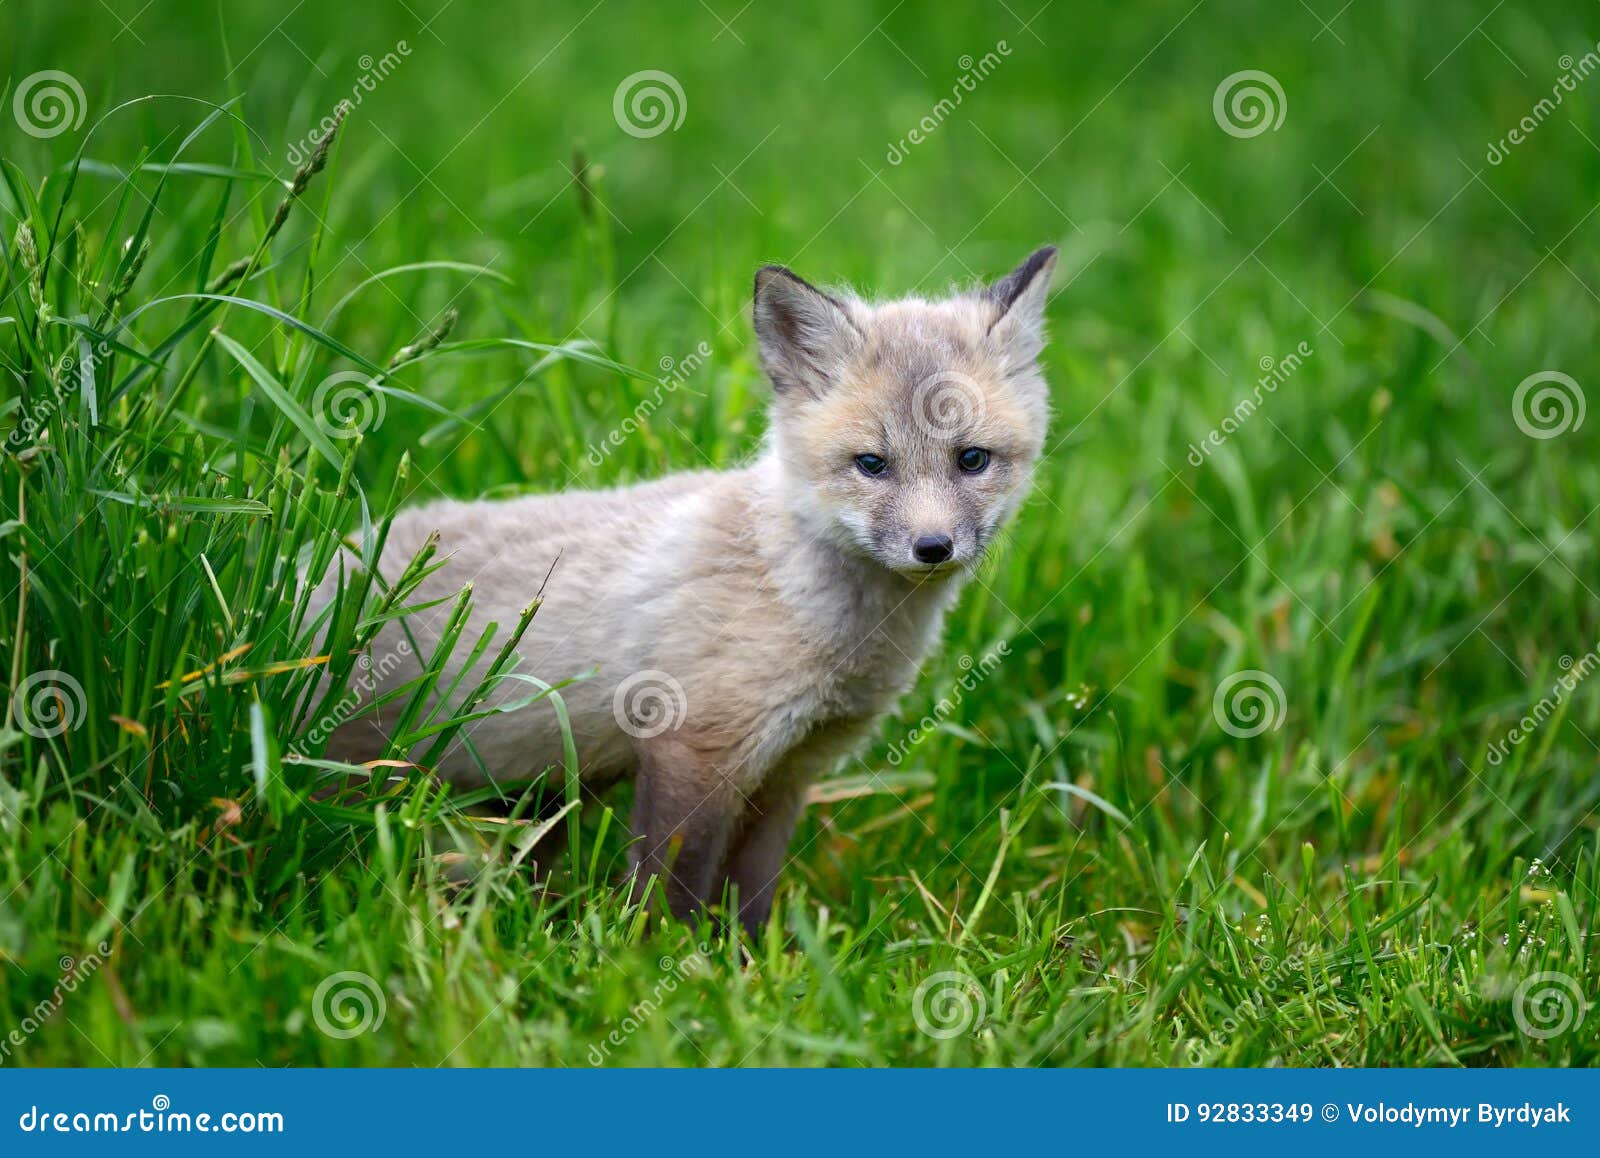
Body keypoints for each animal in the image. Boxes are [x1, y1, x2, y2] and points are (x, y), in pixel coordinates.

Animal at [316, 244, 1058, 934]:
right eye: (872, 465)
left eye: (971, 459)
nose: (933, 548)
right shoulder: (693, 746)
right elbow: (668, 890)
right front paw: (661, 961)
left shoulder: (789, 771)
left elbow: (751, 893)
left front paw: (752, 965)